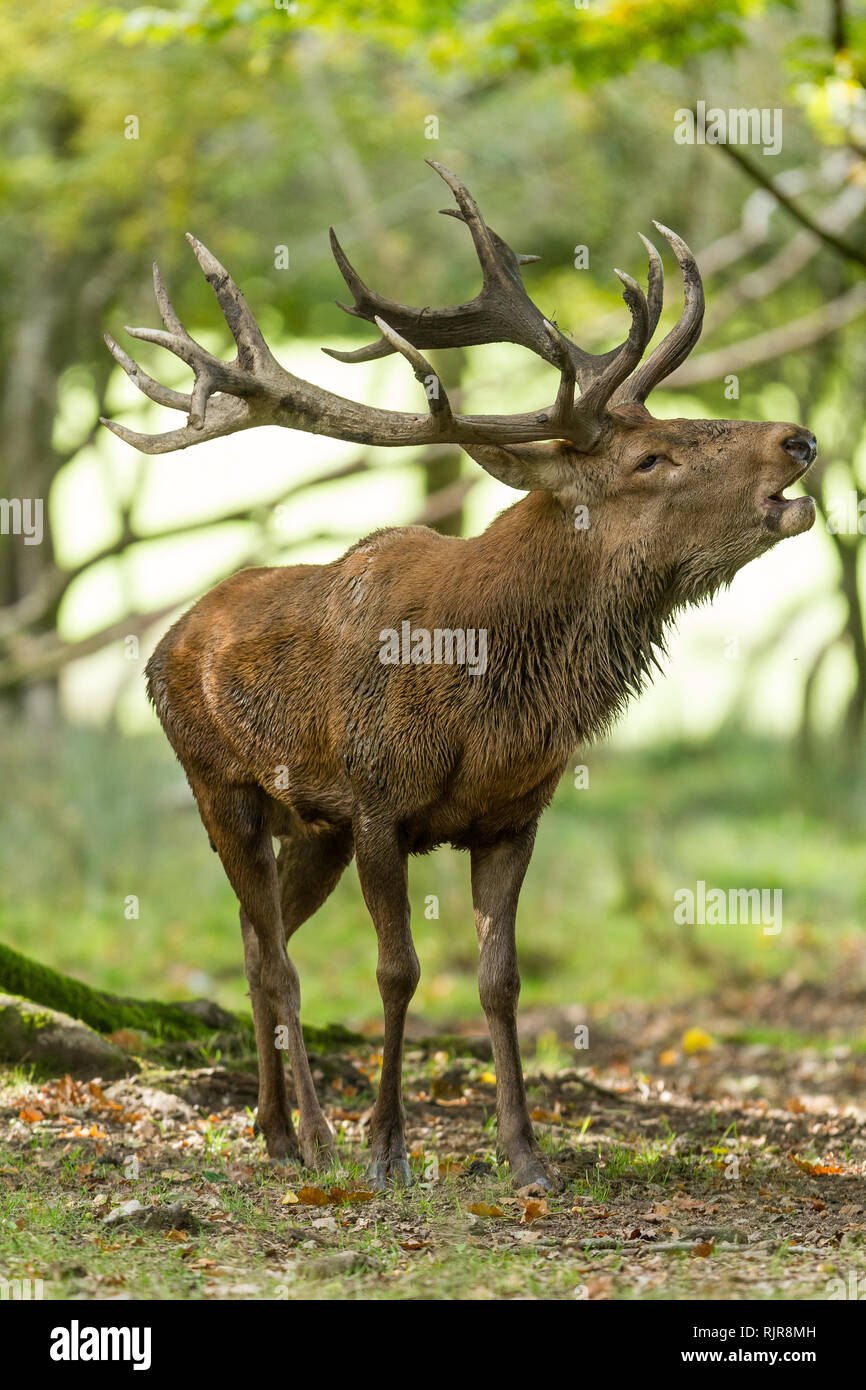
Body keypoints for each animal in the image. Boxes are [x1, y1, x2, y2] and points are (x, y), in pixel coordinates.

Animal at [102, 161, 817, 1192]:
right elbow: (397, 971)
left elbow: (499, 979)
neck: (487, 702)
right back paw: (314, 1136)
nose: (799, 440)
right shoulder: (376, 804)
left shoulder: (512, 816)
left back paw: (275, 1128)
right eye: (652, 457)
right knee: (276, 957)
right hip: (220, 782)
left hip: (306, 826)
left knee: (250, 937)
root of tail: (169, 641)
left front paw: (524, 1153)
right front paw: (387, 1148)